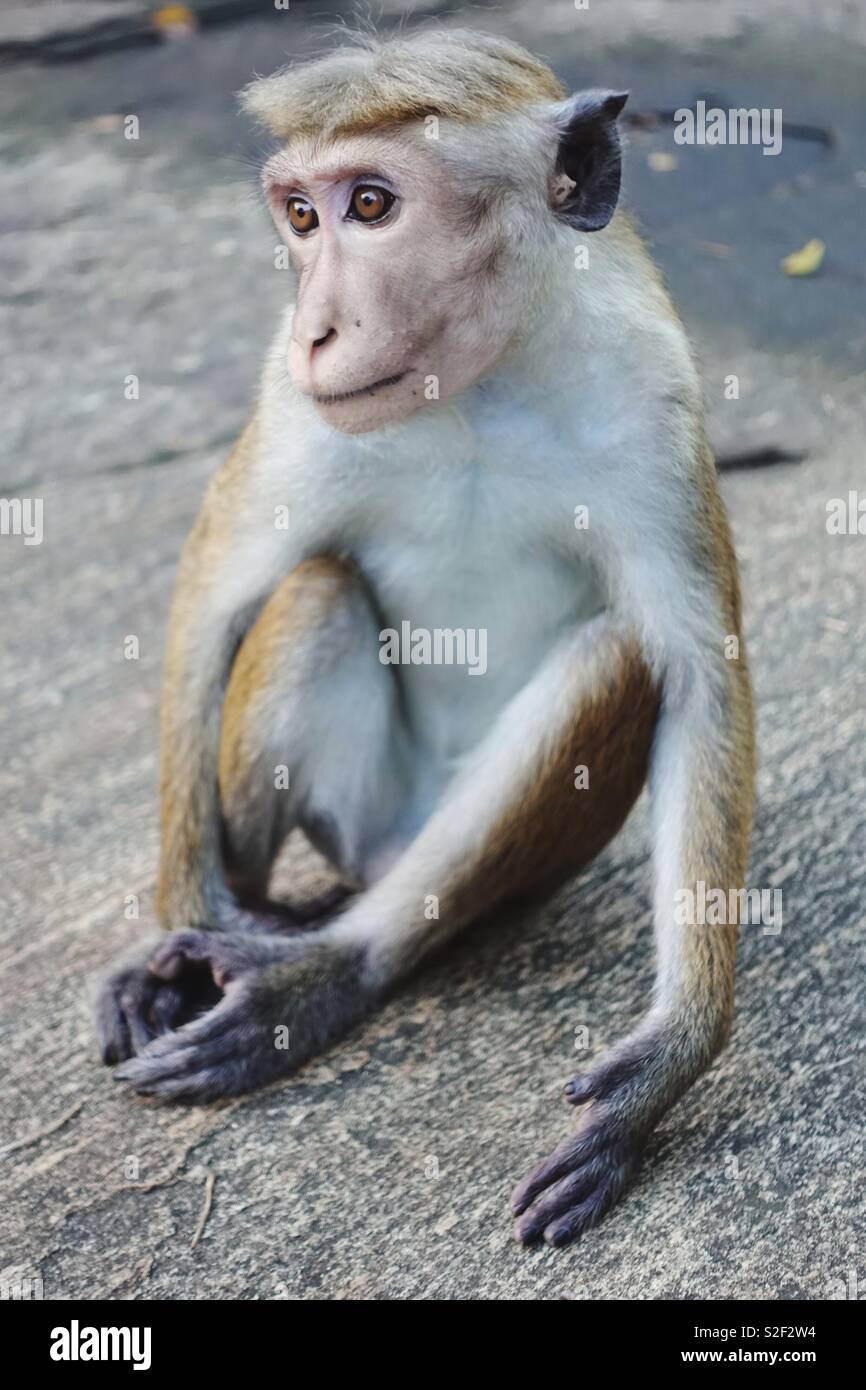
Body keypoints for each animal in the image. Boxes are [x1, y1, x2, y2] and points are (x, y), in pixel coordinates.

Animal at [94, 27, 755, 1249]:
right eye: (300, 217)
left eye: (370, 202)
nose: (316, 328)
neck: (476, 387)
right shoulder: (294, 401)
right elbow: (213, 593)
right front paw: (179, 926)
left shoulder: (654, 399)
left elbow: (699, 675)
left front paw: (663, 1066)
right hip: (358, 812)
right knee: (314, 588)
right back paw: (254, 922)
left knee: (612, 657)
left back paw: (328, 973)